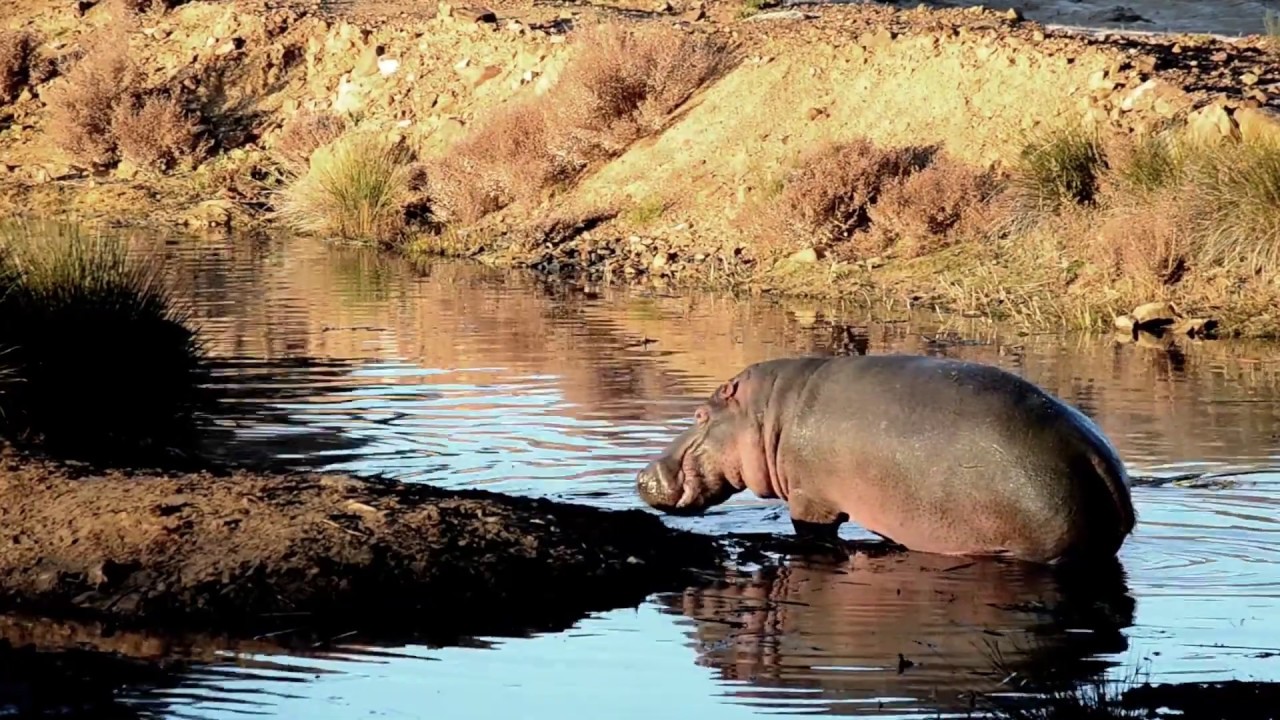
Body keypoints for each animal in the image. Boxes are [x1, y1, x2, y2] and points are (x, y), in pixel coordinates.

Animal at [635, 354, 1136, 565]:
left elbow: (813, 532)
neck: (767, 414)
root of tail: (1099, 461)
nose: (641, 475)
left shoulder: (811, 499)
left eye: (700, 415)